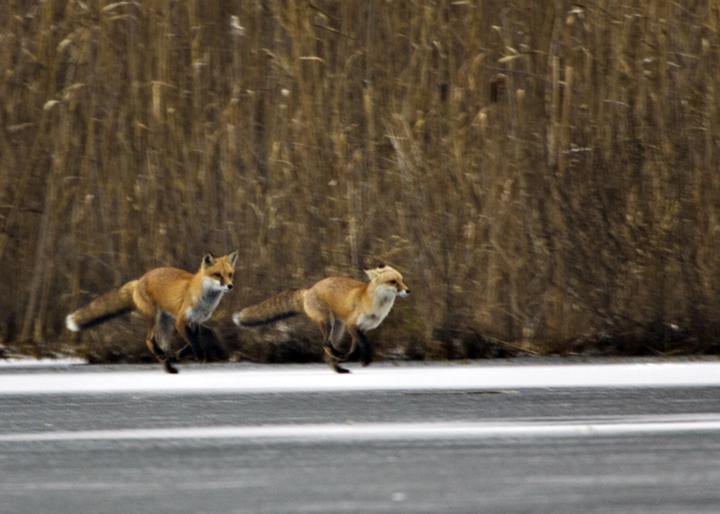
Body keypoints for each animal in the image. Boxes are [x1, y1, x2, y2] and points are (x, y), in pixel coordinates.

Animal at [66, 251, 239, 374]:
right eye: (217, 275)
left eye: (230, 274)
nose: (230, 286)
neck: (204, 299)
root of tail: (140, 279)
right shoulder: (181, 320)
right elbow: (194, 340)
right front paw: (200, 355)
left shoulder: (195, 320)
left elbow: (195, 338)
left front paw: (181, 354)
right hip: (154, 317)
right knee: (149, 340)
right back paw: (162, 356)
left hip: (166, 323)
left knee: (162, 345)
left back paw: (169, 367)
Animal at [233, 265, 410, 373]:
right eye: (393, 282)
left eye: (402, 280)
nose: (408, 291)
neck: (374, 307)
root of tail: (308, 290)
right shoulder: (352, 325)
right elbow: (364, 344)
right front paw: (365, 360)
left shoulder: (362, 328)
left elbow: (357, 346)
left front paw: (354, 358)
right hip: (328, 322)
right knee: (325, 344)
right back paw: (338, 356)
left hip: (338, 328)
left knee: (327, 353)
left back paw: (339, 368)